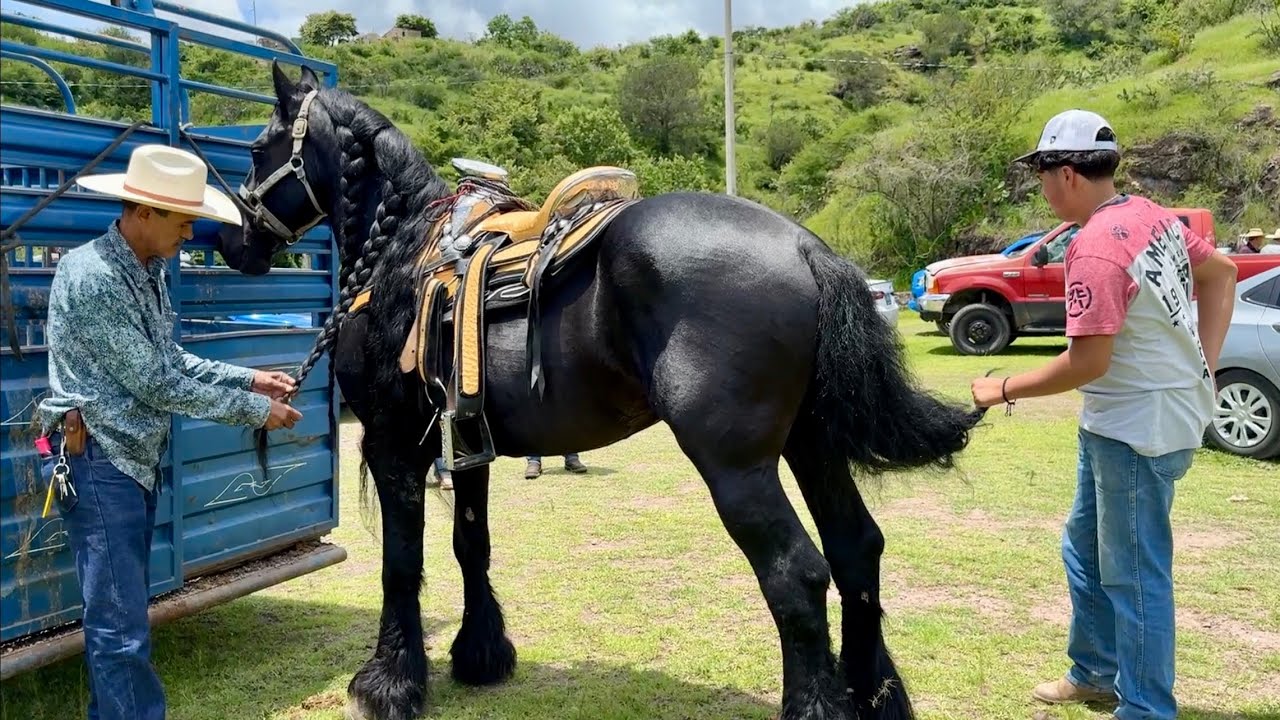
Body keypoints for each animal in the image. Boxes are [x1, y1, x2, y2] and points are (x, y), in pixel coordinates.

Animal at [215, 62, 984, 720]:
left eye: (255, 148)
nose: (232, 241)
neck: (402, 253)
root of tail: (805, 247)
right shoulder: (465, 446)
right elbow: (472, 545)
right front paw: (480, 656)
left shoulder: (392, 441)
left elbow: (401, 563)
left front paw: (390, 683)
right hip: (812, 444)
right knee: (857, 552)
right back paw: (877, 697)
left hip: (738, 465)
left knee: (796, 573)